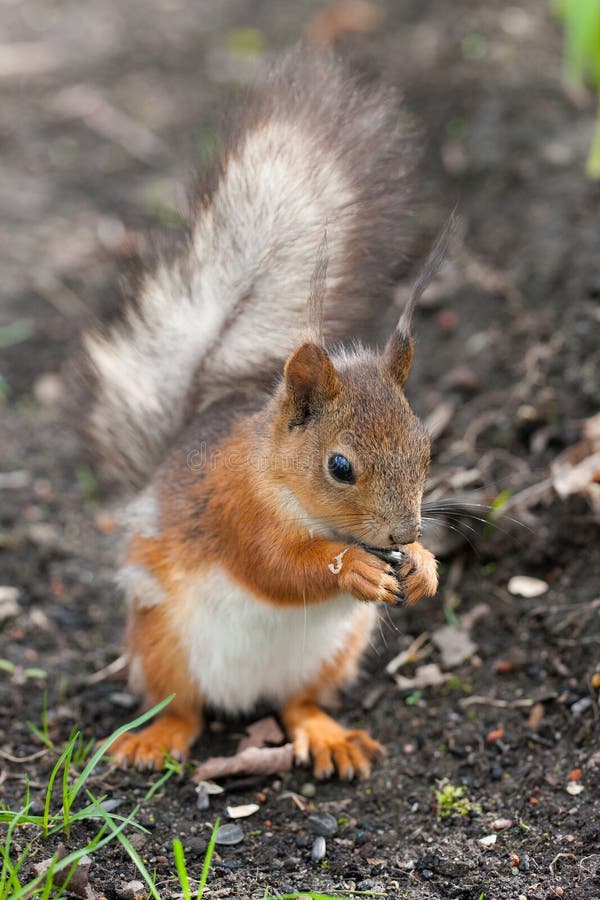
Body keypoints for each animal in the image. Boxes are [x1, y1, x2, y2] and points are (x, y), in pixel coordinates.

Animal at [80, 47, 440, 779]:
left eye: (427, 450)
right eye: (339, 466)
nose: (401, 534)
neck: (280, 477)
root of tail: (243, 696)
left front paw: (423, 564)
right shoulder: (232, 505)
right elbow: (275, 567)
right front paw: (349, 567)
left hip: (330, 655)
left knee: (297, 705)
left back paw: (327, 735)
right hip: (163, 642)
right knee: (182, 709)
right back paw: (155, 739)